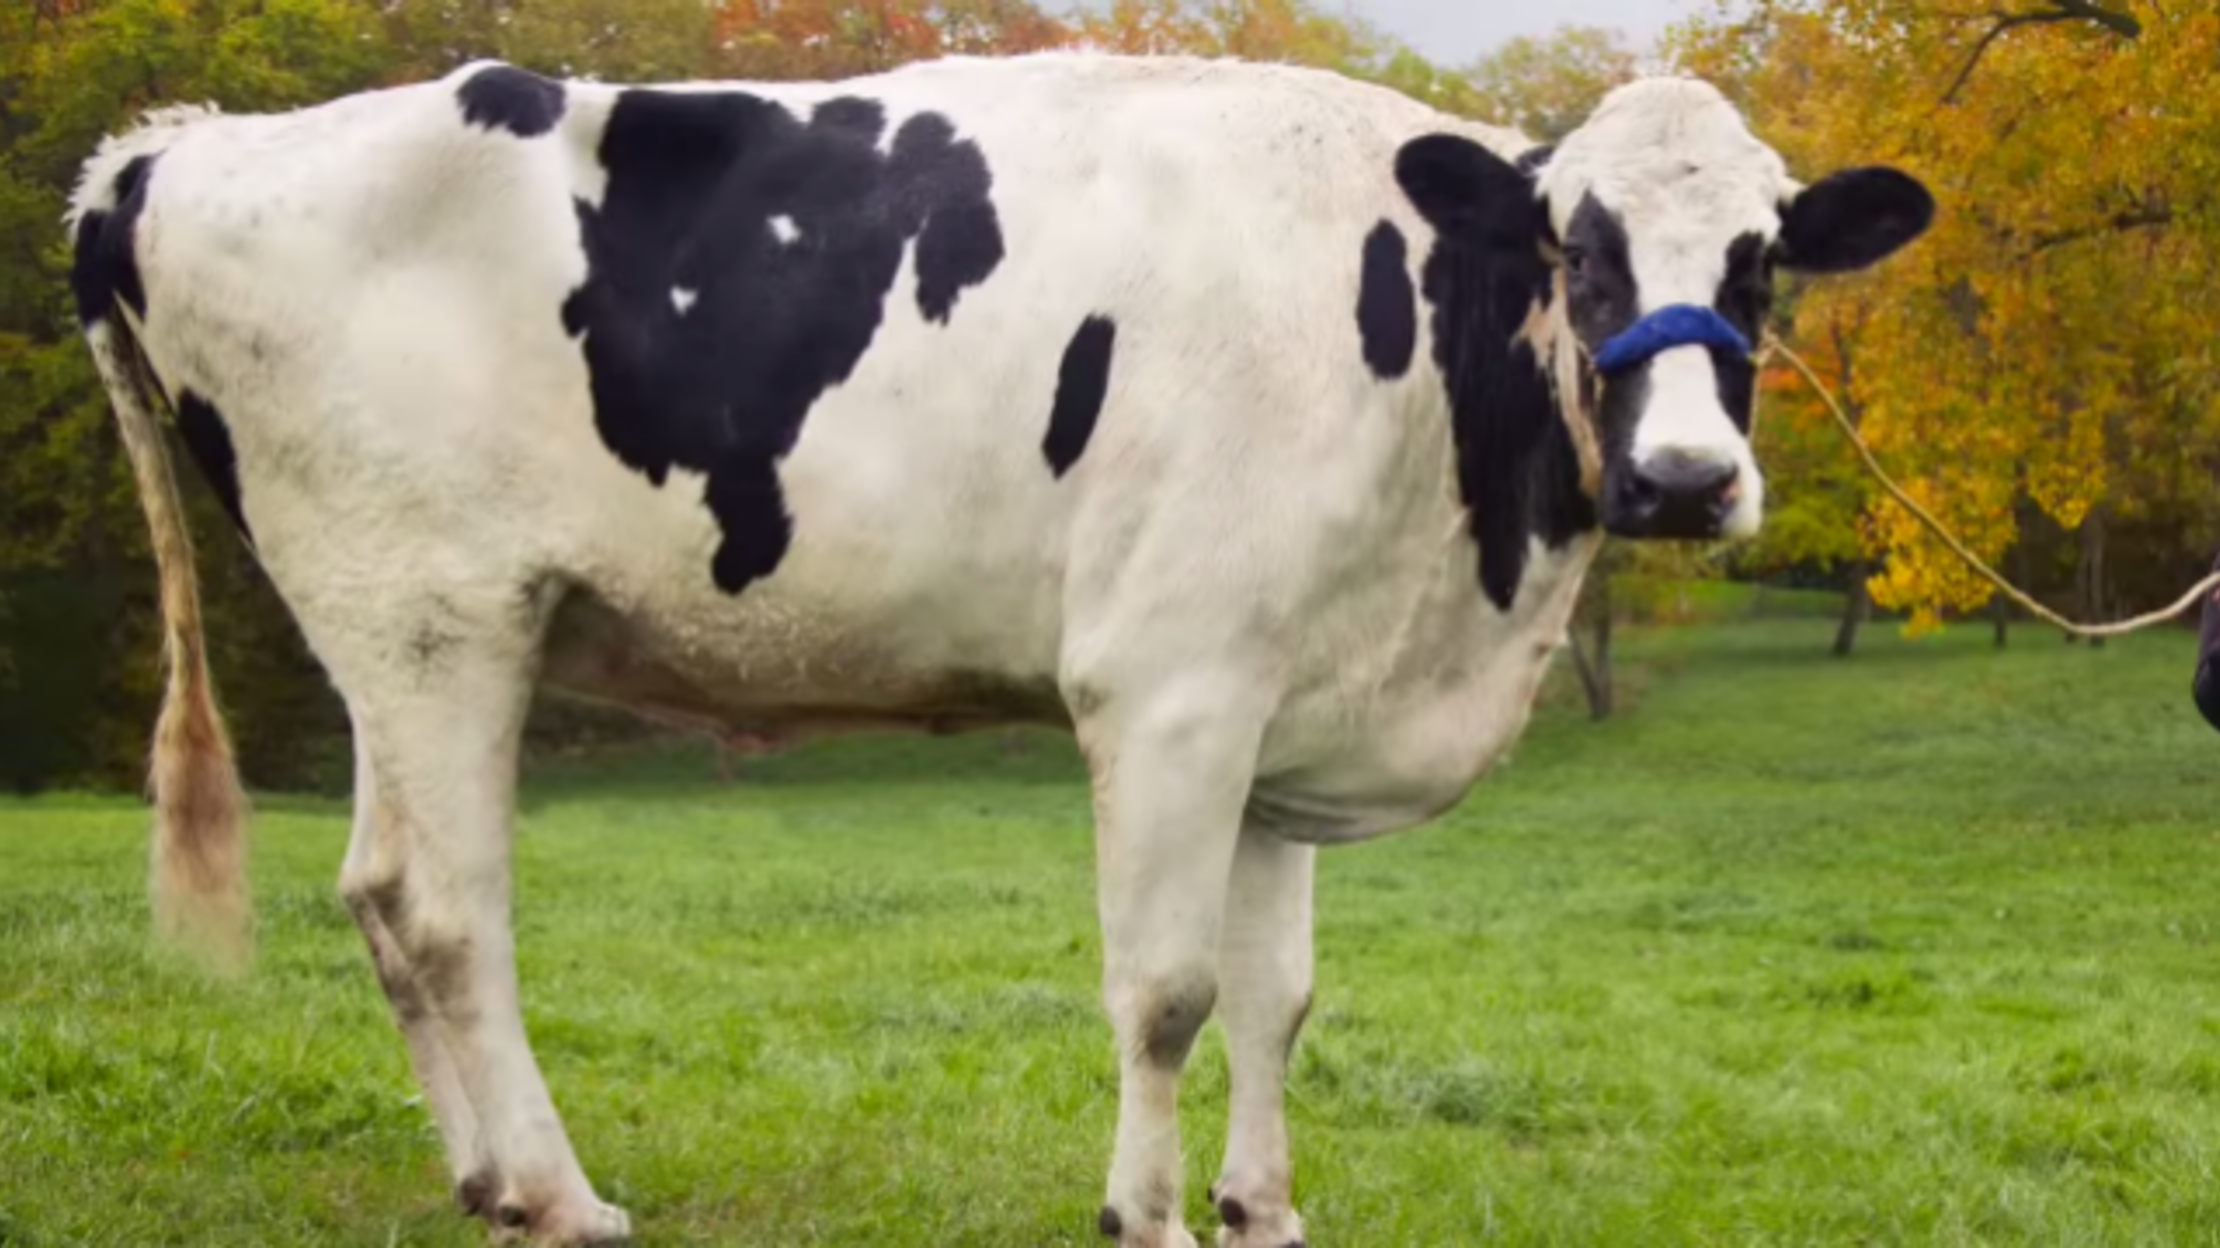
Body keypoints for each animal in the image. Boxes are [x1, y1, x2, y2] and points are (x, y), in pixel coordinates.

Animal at [70, 51, 1932, 1247]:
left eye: (1764, 261)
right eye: (1578, 242)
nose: (1684, 479)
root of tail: (172, 152)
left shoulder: (1277, 699)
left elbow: (1279, 991)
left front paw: (1262, 1207)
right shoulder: (1169, 685)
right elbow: (1169, 989)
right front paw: (1148, 1214)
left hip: (400, 637)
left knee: (383, 895)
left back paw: (482, 1184)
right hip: (438, 612)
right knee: (456, 915)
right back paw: (561, 1195)